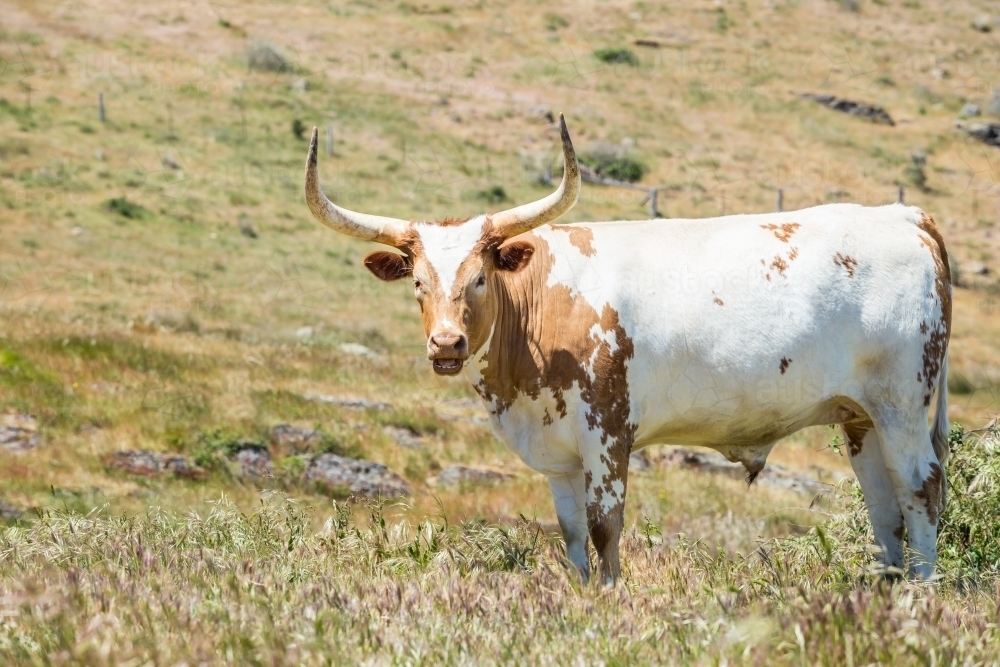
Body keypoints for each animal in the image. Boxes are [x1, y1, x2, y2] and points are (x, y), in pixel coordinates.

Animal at [303, 115, 951, 583]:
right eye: (417, 282)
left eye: (480, 277)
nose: (446, 342)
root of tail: (905, 215)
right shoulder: (559, 455)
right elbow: (570, 535)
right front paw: (583, 593)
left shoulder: (608, 435)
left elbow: (604, 529)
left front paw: (612, 597)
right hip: (860, 416)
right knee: (884, 506)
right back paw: (887, 586)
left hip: (901, 404)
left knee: (920, 489)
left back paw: (923, 591)